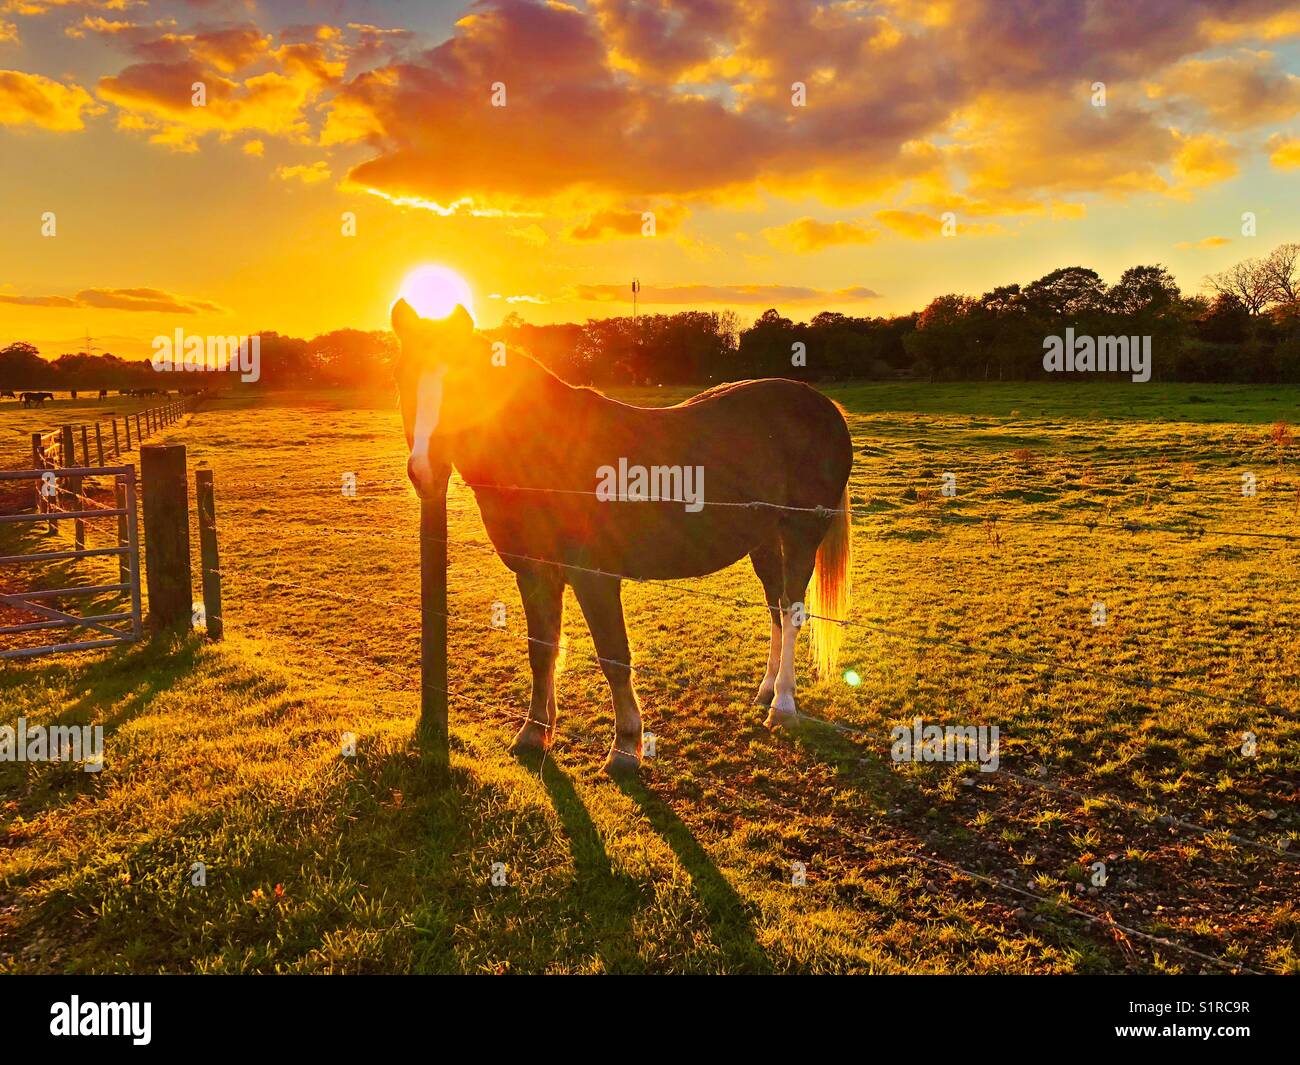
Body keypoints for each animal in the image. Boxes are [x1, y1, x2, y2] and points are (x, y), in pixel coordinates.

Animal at [391, 299, 853, 774]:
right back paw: (766, 690)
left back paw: (783, 705)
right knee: (776, 608)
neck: (548, 456)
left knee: (792, 611)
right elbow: (542, 650)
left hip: (801, 535)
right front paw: (534, 733)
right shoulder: (534, 573)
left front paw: (626, 745)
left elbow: (613, 656)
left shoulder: (595, 577)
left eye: (463, 386)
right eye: (401, 378)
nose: (425, 471)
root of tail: (823, 407)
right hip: (764, 542)